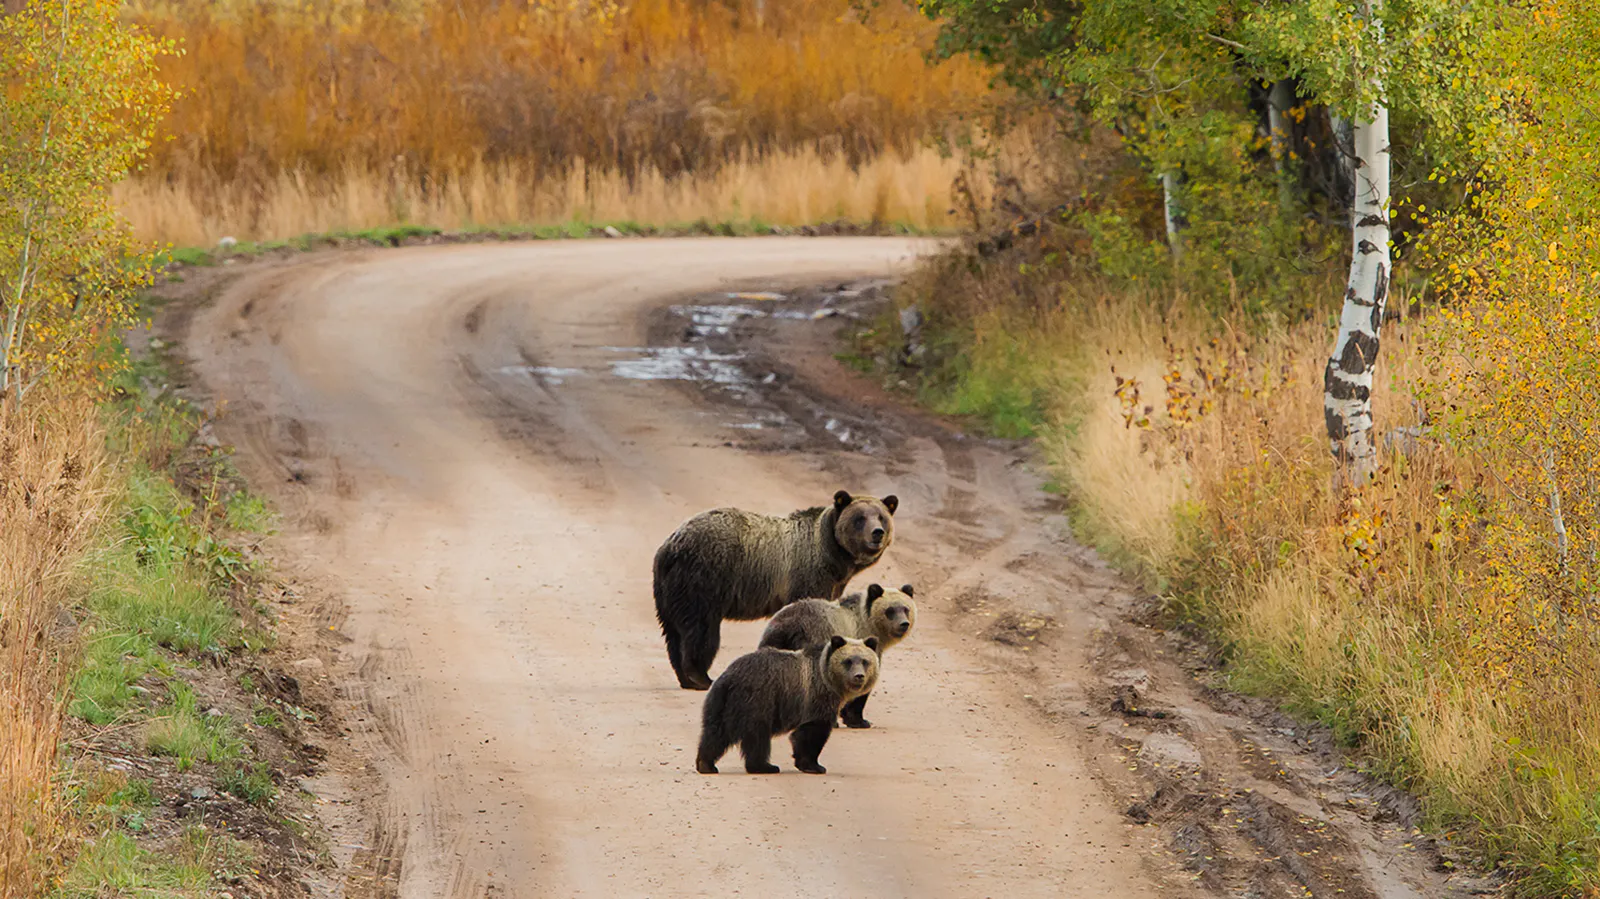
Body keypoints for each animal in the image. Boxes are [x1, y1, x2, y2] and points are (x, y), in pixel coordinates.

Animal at [653, 490, 897, 690]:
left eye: (881, 516)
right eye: (860, 518)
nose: (877, 533)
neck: (834, 555)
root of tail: (670, 546)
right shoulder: (808, 575)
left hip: (667, 590)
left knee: (673, 632)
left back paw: (685, 678)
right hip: (704, 577)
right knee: (700, 629)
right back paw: (701, 677)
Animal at [695, 635, 880, 775]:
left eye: (865, 661)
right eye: (848, 661)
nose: (859, 676)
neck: (831, 683)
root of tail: (729, 677)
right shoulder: (816, 698)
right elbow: (813, 731)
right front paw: (814, 766)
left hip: (722, 703)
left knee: (716, 732)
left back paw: (706, 764)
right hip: (757, 700)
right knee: (757, 736)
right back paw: (765, 766)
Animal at [758, 583, 917, 729]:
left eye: (906, 609)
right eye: (890, 610)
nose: (904, 624)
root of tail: (791, 627)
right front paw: (859, 721)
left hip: (772, 640)